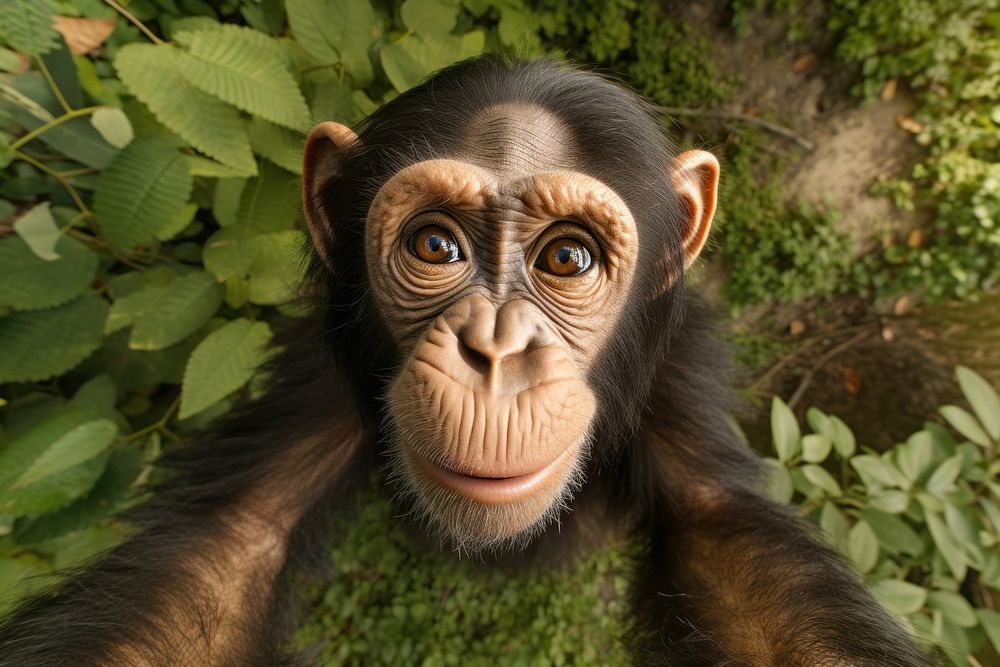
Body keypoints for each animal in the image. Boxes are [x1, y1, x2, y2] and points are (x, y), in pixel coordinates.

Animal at [0, 57, 932, 667]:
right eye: (435, 246)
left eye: (568, 259)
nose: (496, 347)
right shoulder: (321, 380)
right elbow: (225, 550)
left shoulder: (677, 378)